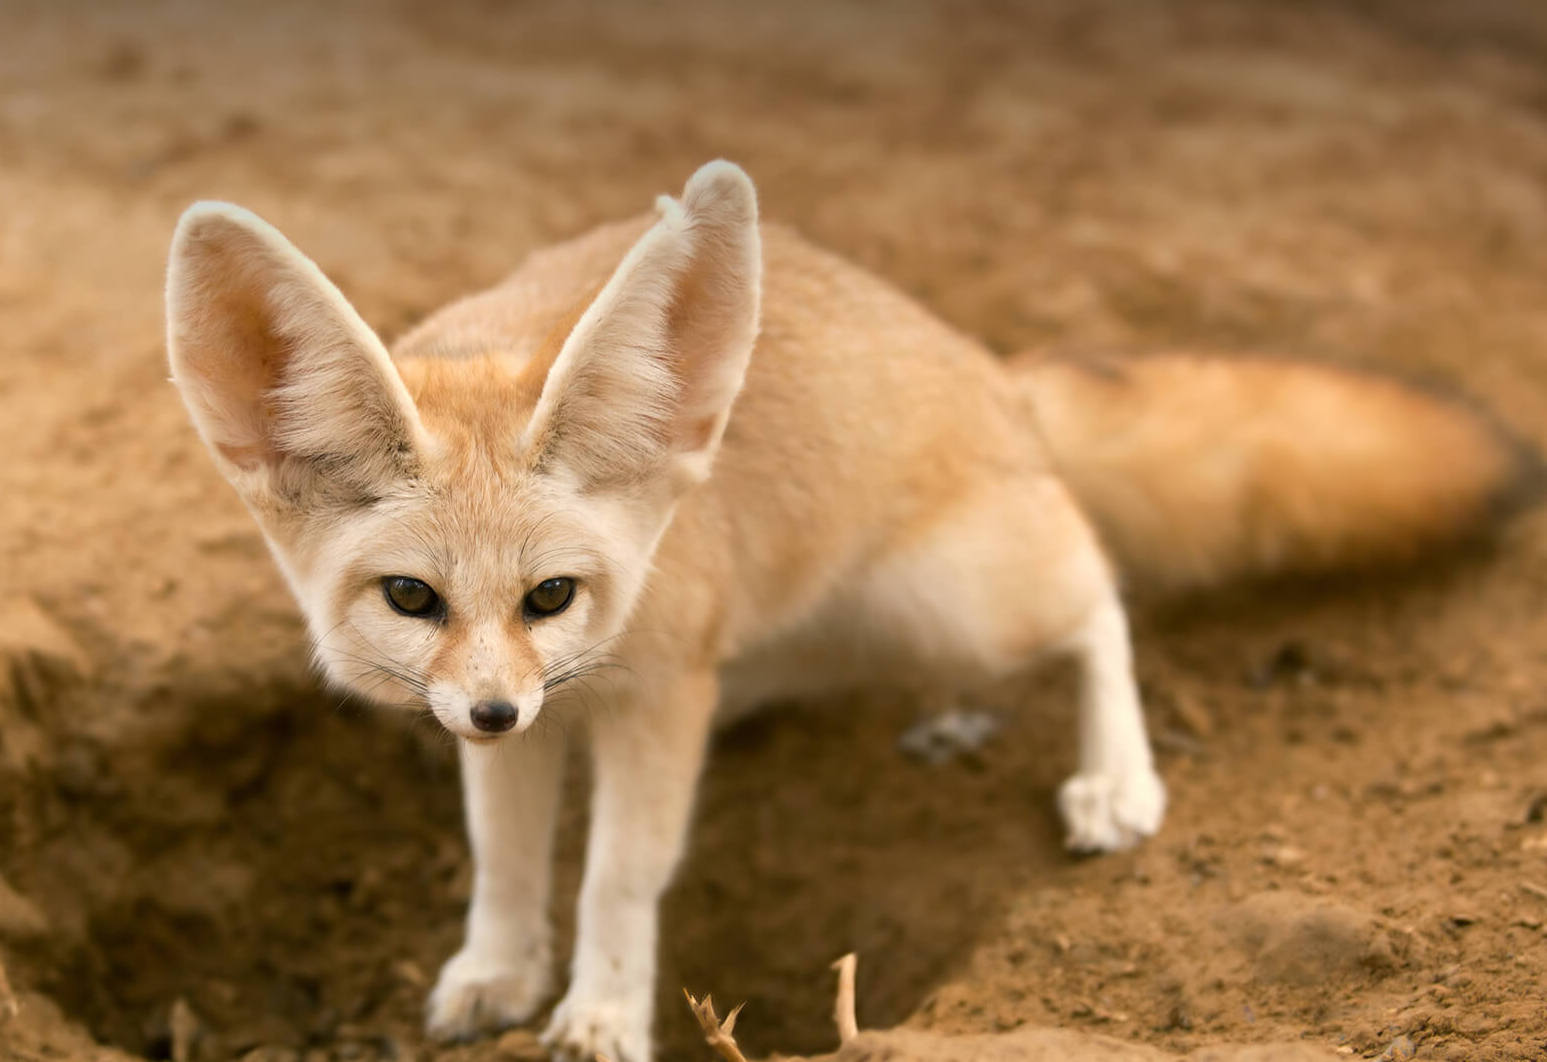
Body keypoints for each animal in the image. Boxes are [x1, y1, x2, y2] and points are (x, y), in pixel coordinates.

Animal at [165, 161, 1529, 1062]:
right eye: (412, 597)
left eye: (551, 594)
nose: (496, 711)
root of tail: (990, 373)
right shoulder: (527, 720)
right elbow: (503, 859)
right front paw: (497, 972)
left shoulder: (656, 698)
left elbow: (617, 876)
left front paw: (601, 1012)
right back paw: (955, 719)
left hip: (958, 595)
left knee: (1096, 592)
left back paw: (1113, 779)